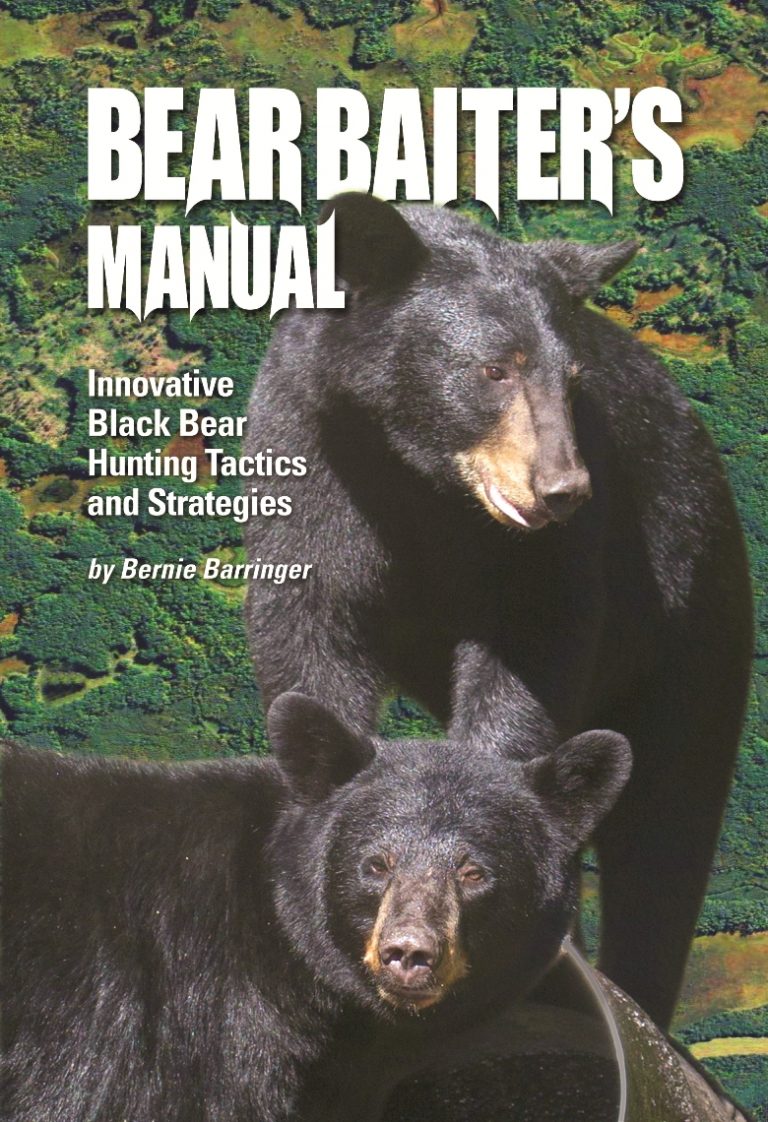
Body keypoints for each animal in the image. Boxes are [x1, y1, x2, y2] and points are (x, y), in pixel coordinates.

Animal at [243, 192, 754, 1030]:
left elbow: (530, 656)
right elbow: (311, 634)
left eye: (572, 380)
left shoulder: (554, 554)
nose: (561, 487)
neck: (416, 477)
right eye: (494, 369)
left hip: (691, 627)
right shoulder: (309, 458)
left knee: (669, 830)